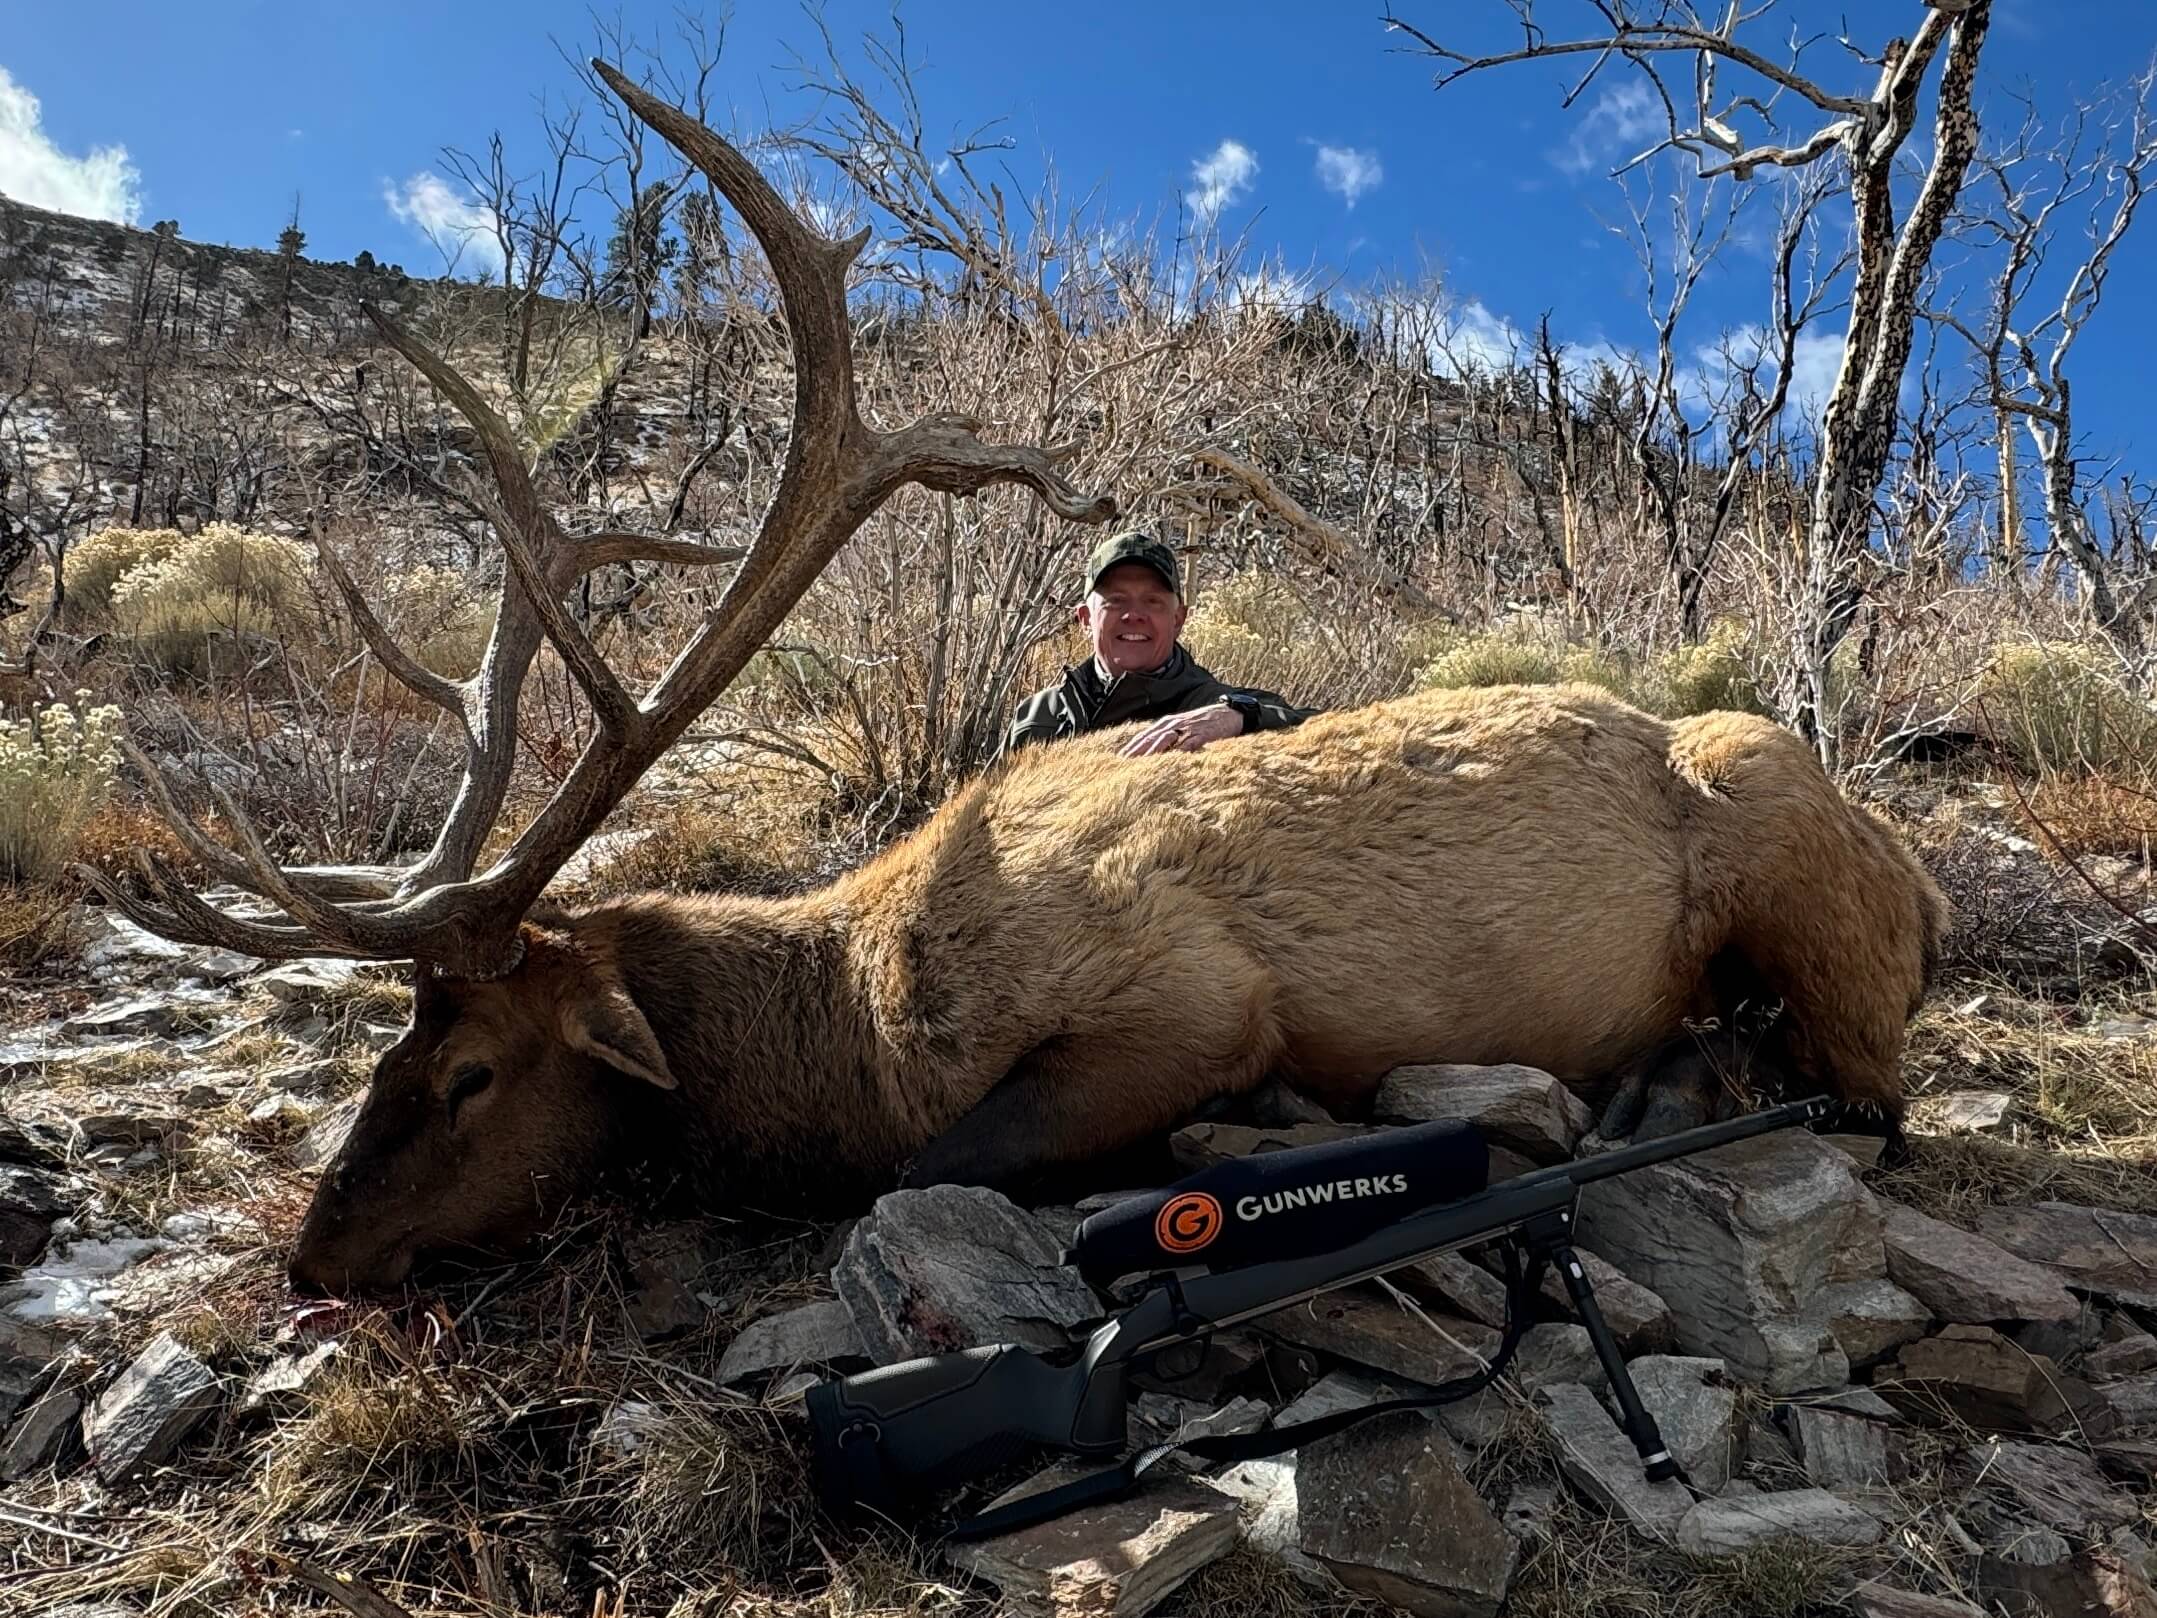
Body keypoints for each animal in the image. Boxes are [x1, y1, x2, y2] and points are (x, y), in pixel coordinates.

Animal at [78, 66, 1951, 1297]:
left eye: (469, 1068)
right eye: (388, 1050)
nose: (313, 1251)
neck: (864, 1018)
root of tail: (1912, 868)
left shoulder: (1186, 999)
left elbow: (930, 1166)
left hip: (1793, 856)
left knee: (1875, 1096)